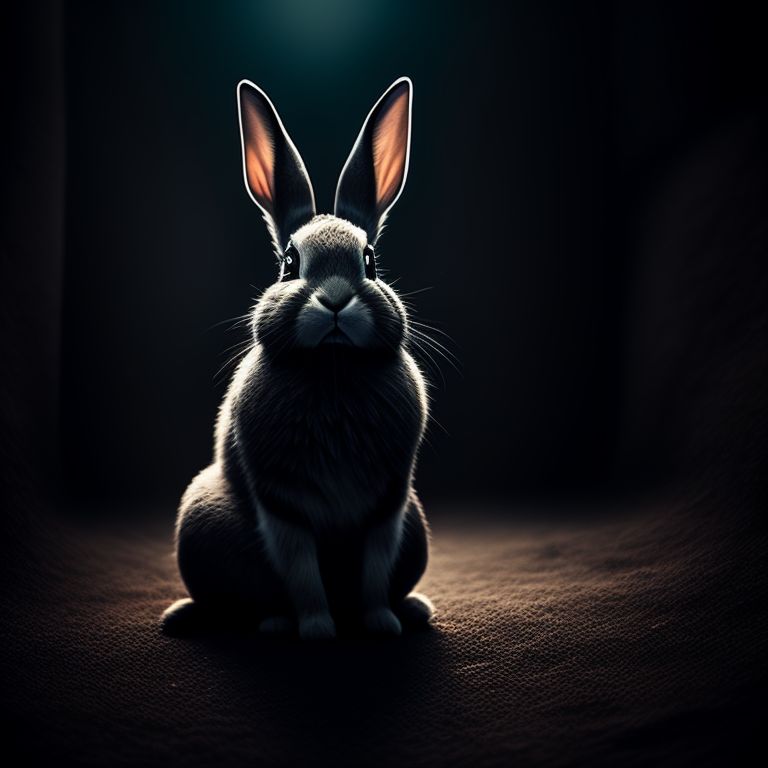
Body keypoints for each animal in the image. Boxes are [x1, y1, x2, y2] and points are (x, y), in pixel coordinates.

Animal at [161, 77, 434, 640]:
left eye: (370, 262)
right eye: (290, 263)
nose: (335, 300)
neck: (332, 371)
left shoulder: (389, 504)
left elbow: (374, 572)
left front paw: (380, 625)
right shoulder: (281, 504)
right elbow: (302, 571)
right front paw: (317, 631)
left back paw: (413, 609)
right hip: (202, 523)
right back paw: (267, 624)